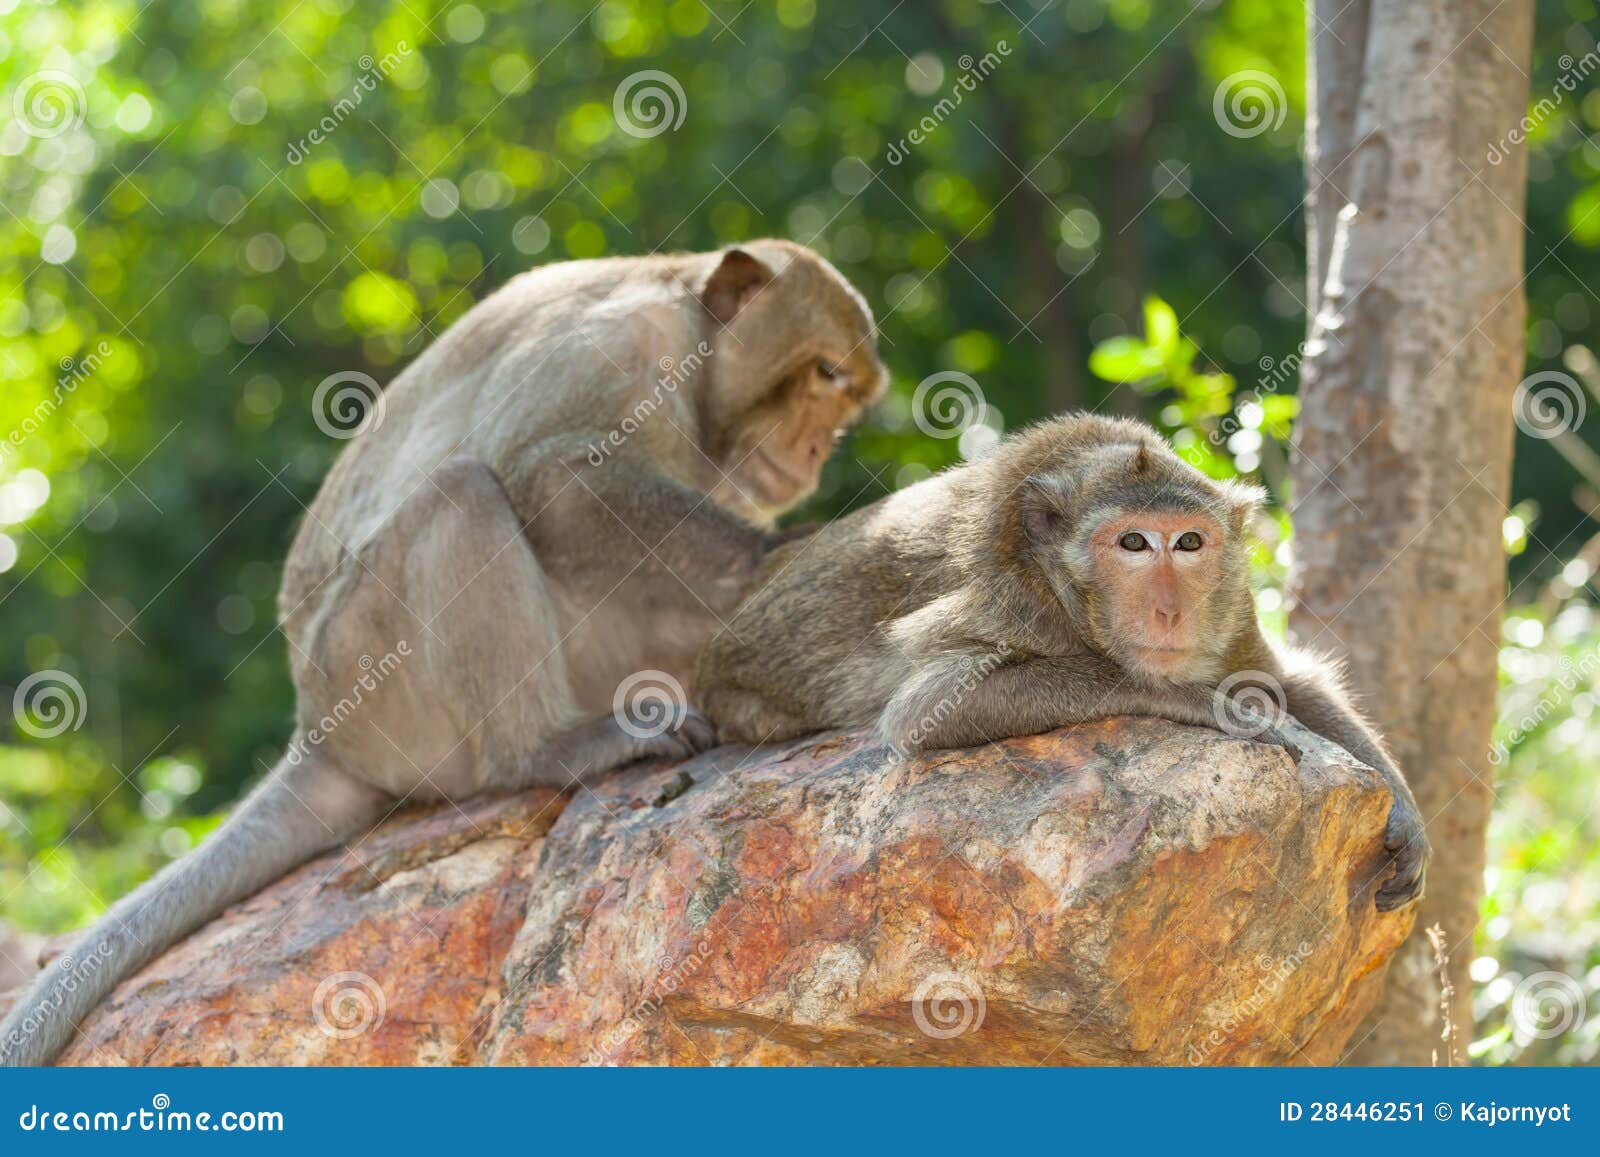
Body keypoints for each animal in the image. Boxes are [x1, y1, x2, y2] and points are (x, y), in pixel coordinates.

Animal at [0, 241, 888, 1066]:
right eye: (823, 373)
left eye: (847, 398)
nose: (817, 448)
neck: (690, 328)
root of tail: (318, 728)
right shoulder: (617, 347)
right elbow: (554, 478)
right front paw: (782, 549)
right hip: (376, 677)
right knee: (460, 493)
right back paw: (549, 746)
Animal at [696, 412, 1427, 913]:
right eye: (1133, 543)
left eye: (1190, 543)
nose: (1169, 611)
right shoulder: (1011, 599)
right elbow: (922, 709)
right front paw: (1201, 703)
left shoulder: (1233, 612)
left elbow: (1284, 677)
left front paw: (1405, 810)